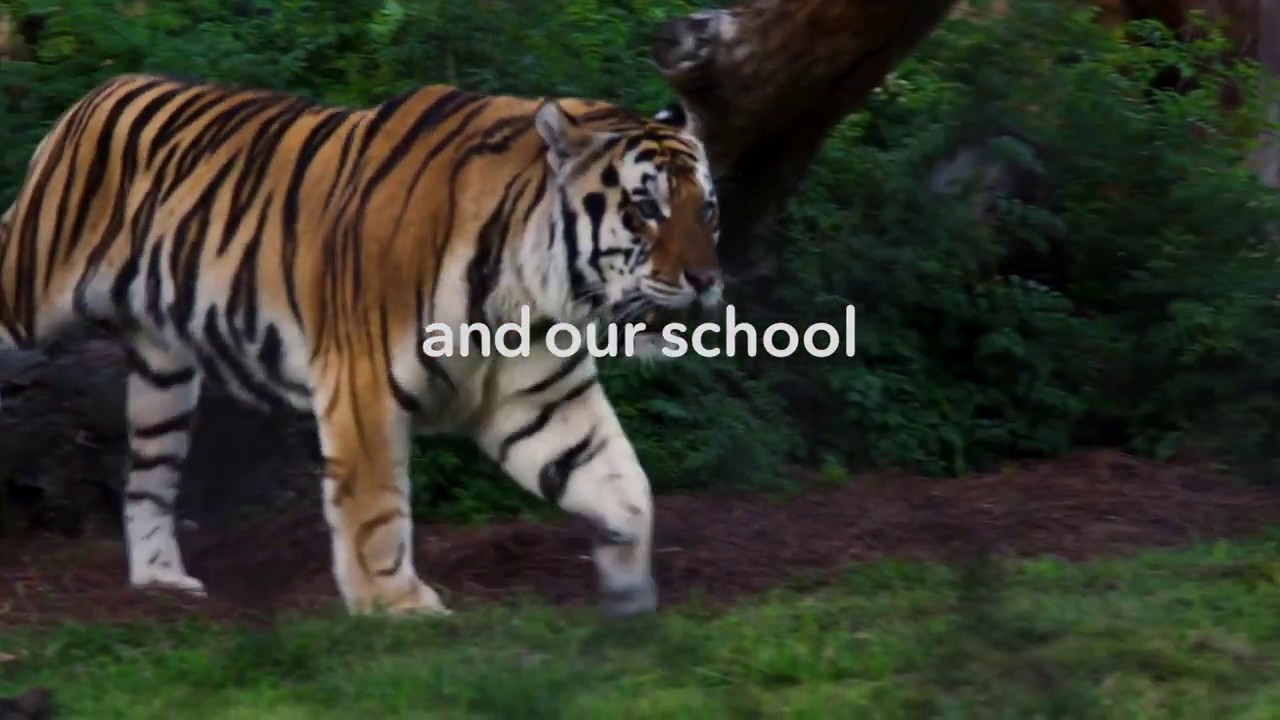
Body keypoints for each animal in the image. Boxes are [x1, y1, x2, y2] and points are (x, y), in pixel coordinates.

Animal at [0, 73, 724, 617]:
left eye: (707, 210)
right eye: (646, 209)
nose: (706, 279)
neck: (535, 294)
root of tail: (96, 94)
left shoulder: (545, 402)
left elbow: (626, 489)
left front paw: (629, 596)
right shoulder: (364, 385)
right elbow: (376, 509)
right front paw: (396, 607)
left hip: (164, 379)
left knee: (149, 480)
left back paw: (160, 581)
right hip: (27, 294)